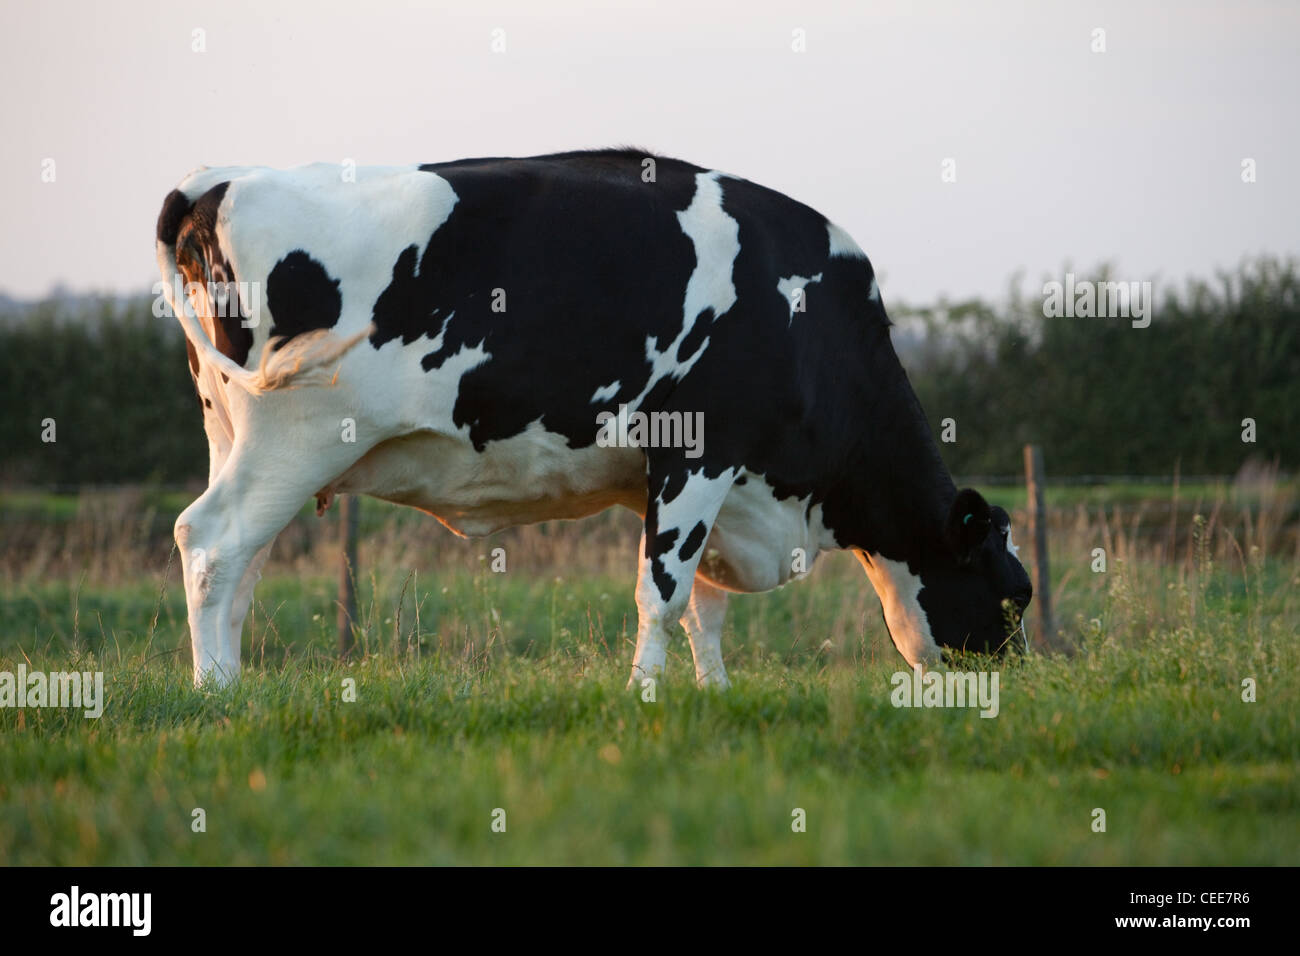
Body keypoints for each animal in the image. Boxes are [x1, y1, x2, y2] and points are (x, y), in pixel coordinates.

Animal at [155, 149, 1032, 689]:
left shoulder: (709, 481)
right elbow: (664, 594)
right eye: (1014, 593)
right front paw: (645, 694)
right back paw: (217, 694)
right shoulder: (699, 450)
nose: (1028, 680)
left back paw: (229, 679)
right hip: (294, 434)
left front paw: (715, 692)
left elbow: (705, 605)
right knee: (212, 541)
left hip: (233, 434)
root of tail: (215, 183)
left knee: (242, 565)